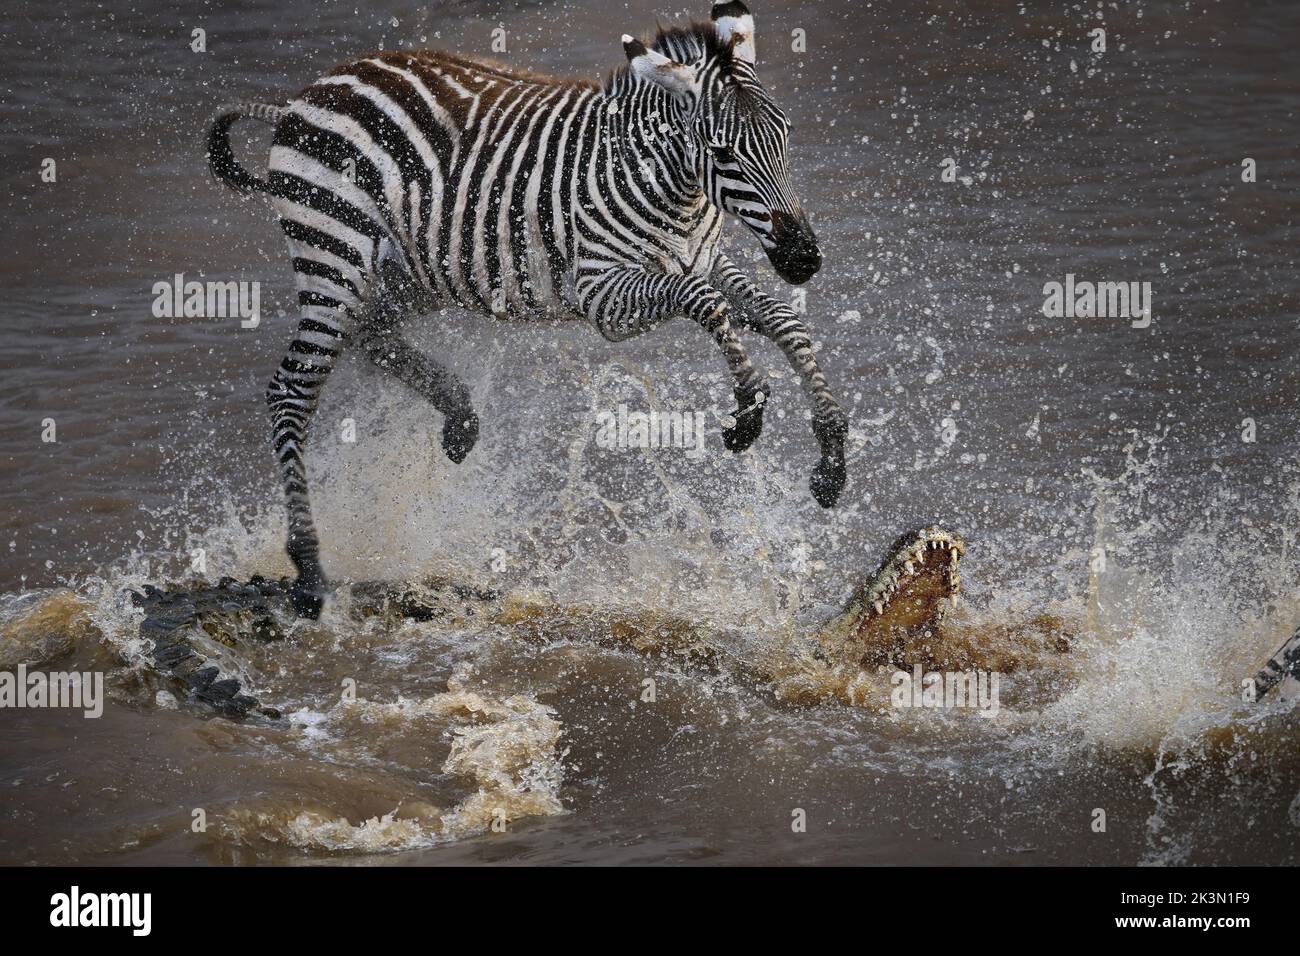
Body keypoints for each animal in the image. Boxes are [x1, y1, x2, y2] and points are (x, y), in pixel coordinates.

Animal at [206, 1, 848, 617]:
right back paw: (310, 571)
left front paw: (832, 453)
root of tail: (303, 96)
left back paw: (459, 417)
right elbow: (706, 305)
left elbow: (784, 321)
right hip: (334, 253)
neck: (674, 191)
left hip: (407, 271)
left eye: (786, 134)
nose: (804, 258)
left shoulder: (705, 259)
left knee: (371, 337)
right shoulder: (604, 296)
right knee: (292, 390)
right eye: (722, 152)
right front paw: (748, 406)